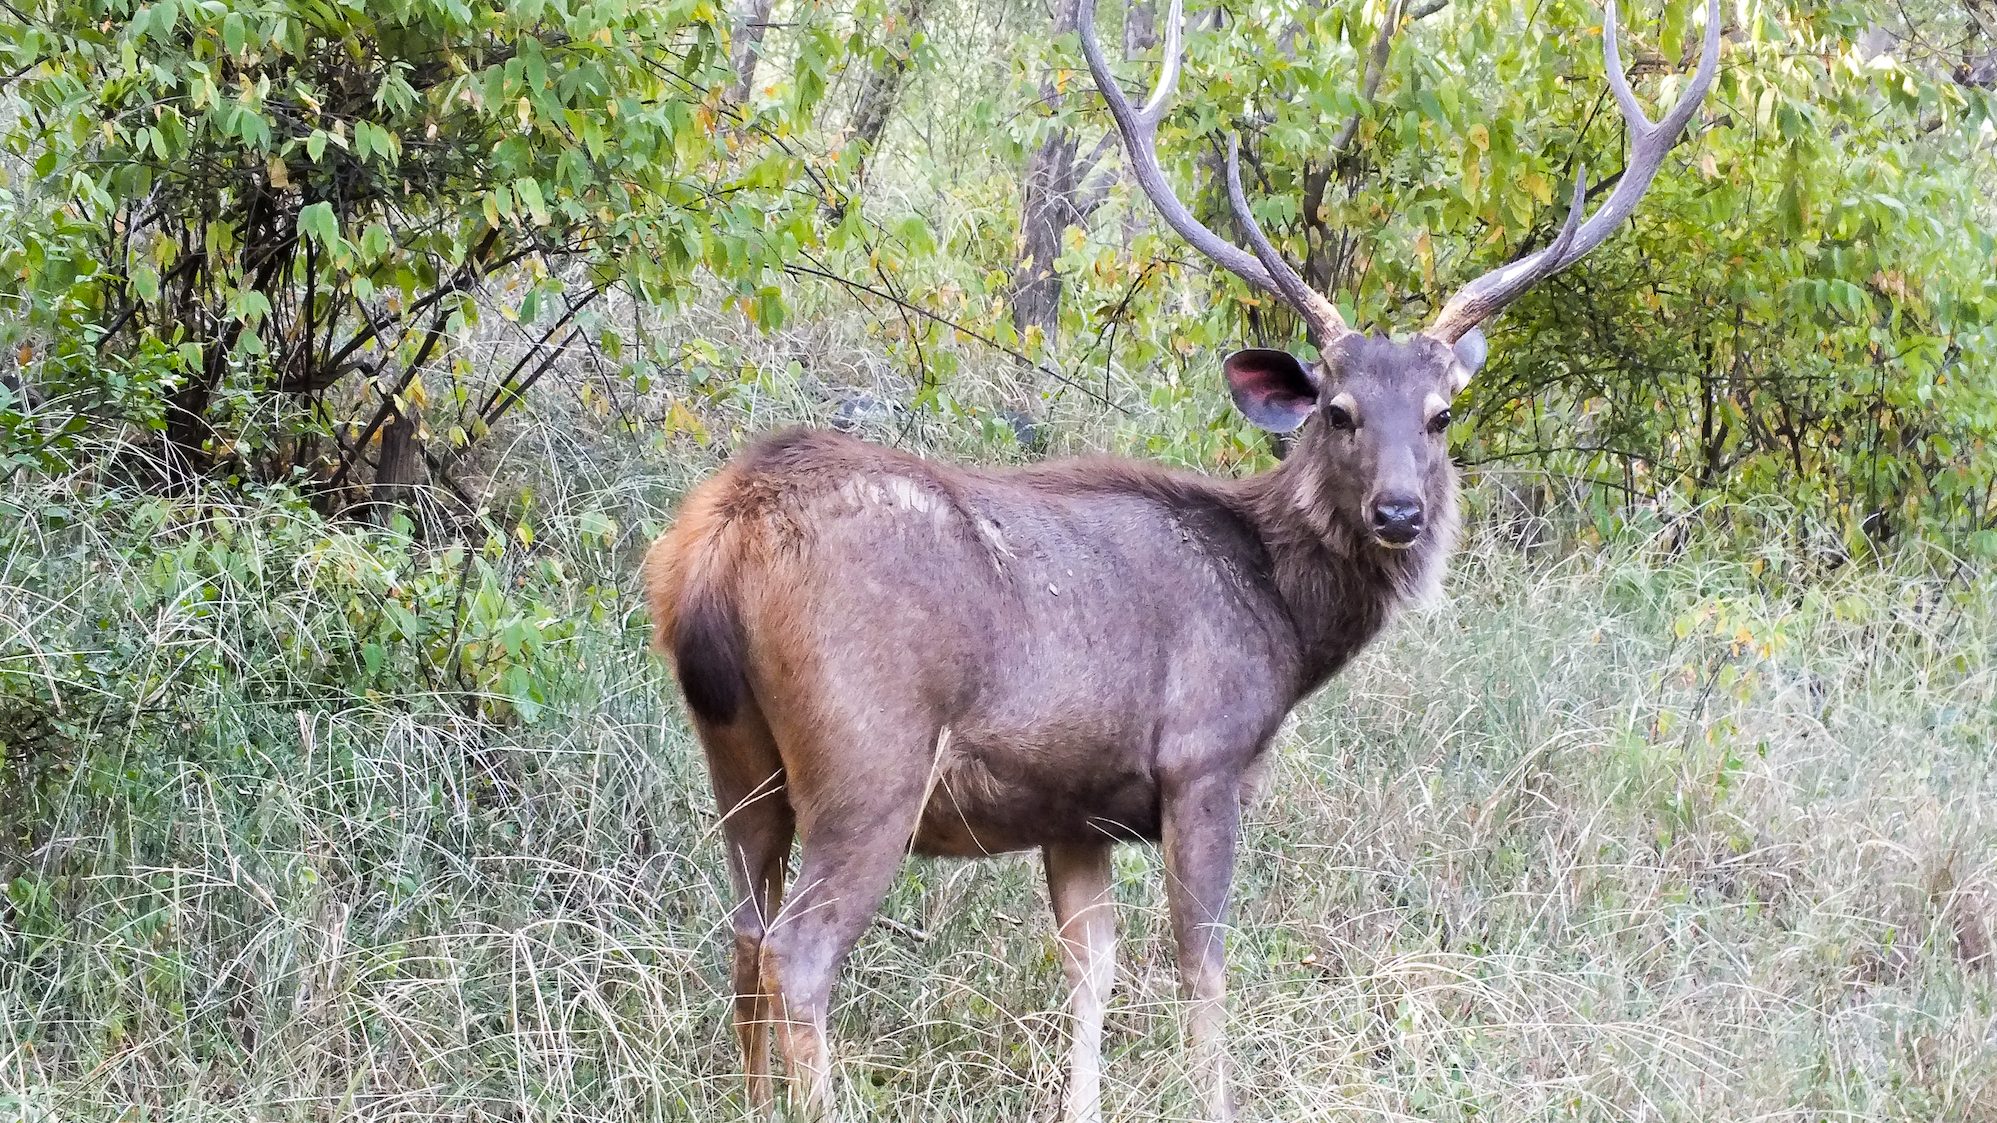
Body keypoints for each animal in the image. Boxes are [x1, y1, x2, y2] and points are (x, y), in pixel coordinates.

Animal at [643, 0, 1718, 1117]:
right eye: (1338, 409)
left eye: (1440, 413)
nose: (1399, 511)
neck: (1282, 623)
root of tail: (717, 540)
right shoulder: (1203, 760)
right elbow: (1201, 965)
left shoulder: (1073, 804)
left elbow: (1091, 965)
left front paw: (1081, 1100)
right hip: (868, 754)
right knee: (799, 950)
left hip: (736, 755)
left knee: (743, 930)